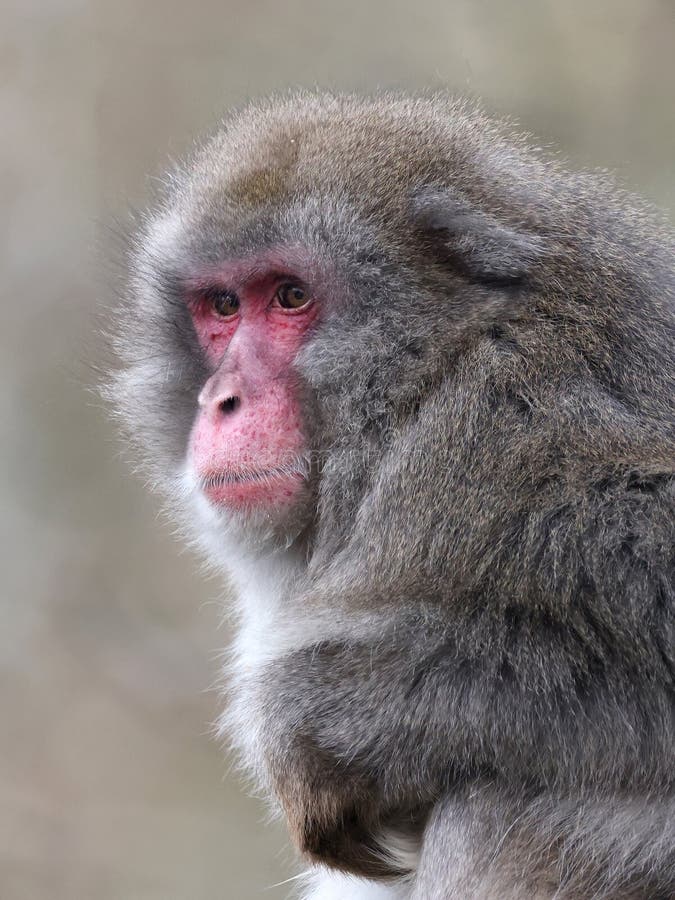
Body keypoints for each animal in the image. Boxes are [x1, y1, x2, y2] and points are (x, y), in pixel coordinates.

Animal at [108, 91, 675, 899]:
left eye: (291, 297)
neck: (427, 382)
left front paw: (319, 714)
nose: (221, 401)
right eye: (222, 305)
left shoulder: (503, 425)